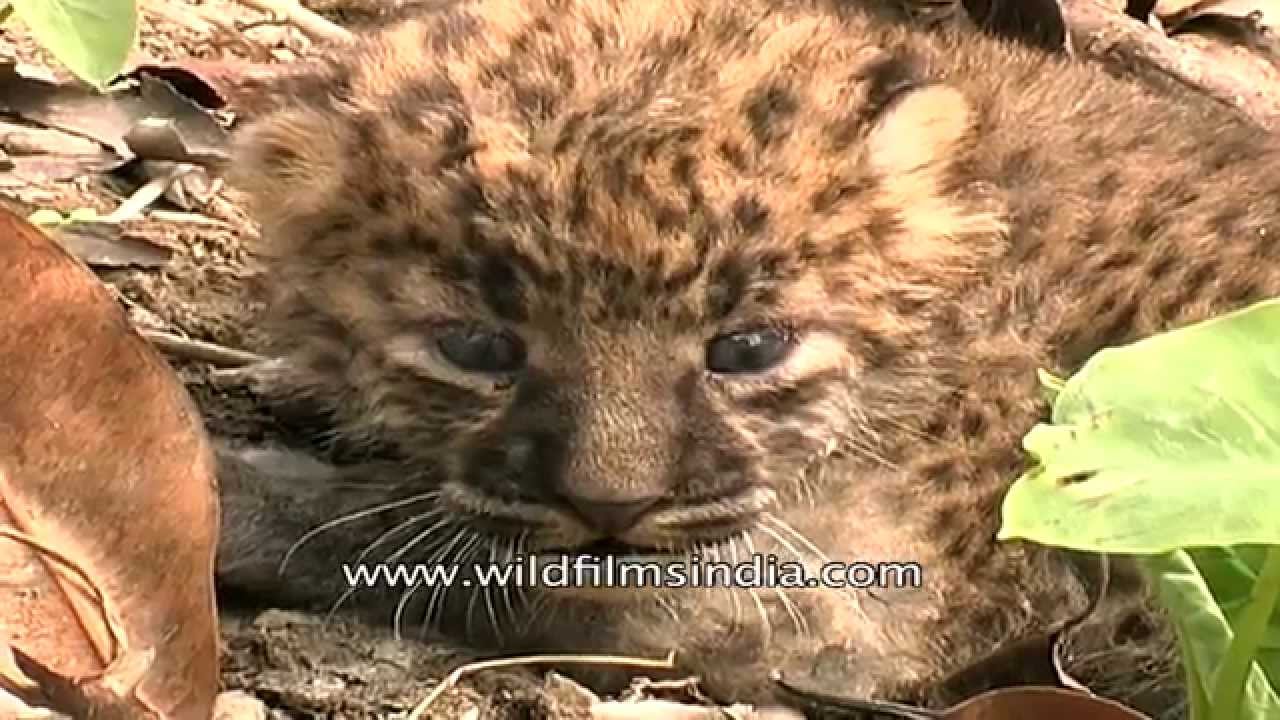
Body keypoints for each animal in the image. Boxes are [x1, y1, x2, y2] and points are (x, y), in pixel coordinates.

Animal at [211, 0, 1280, 716]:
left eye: (749, 349)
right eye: (476, 348)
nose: (612, 507)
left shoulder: (856, 589)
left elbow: (439, 548)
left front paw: (236, 495)